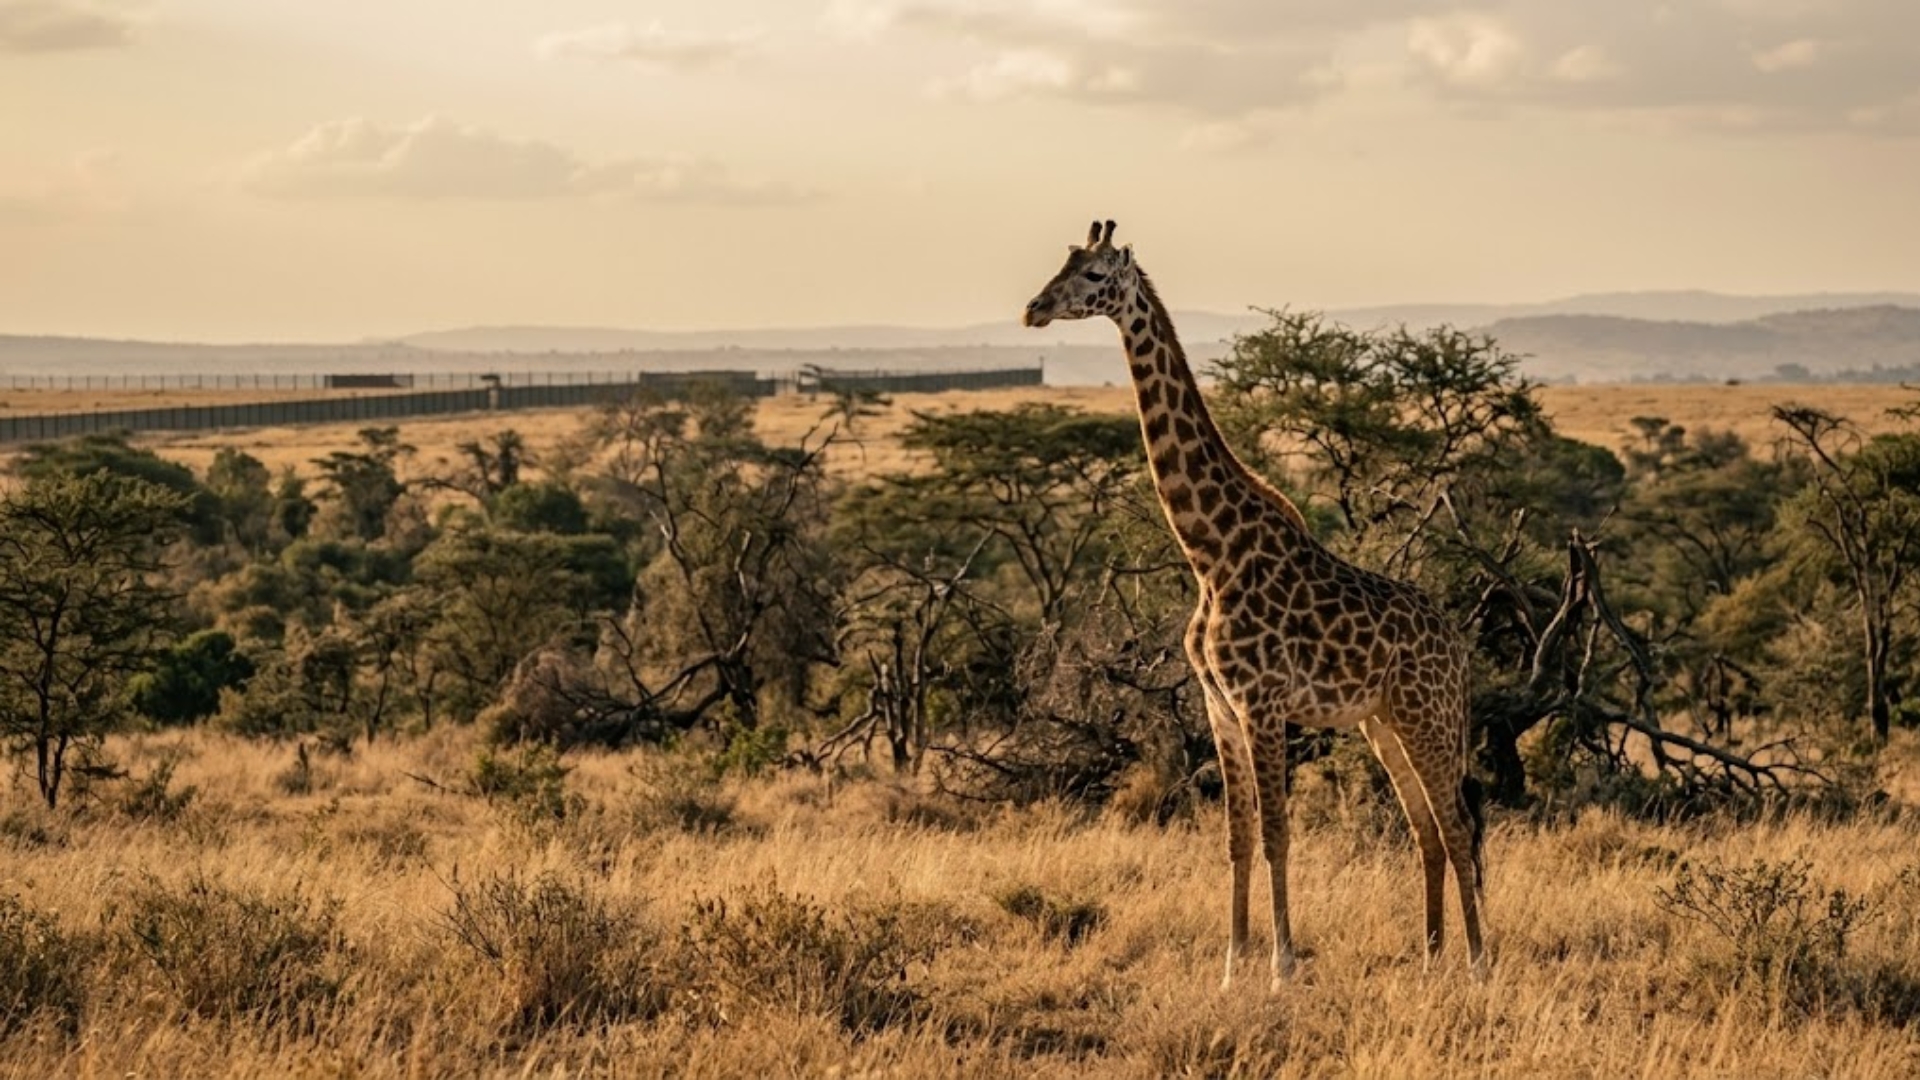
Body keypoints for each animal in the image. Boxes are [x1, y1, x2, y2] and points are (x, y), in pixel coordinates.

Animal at [1021, 220, 1486, 986]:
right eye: (1063, 262)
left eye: (1092, 275)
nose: (1033, 309)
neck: (1210, 553)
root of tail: (1457, 643)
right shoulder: (1220, 704)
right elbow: (1237, 838)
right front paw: (1232, 967)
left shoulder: (1263, 704)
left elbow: (1277, 834)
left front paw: (1281, 968)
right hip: (1382, 721)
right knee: (1427, 829)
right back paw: (1431, 957)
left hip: (1429, 715)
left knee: (1457, 824)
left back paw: (1478, 963)